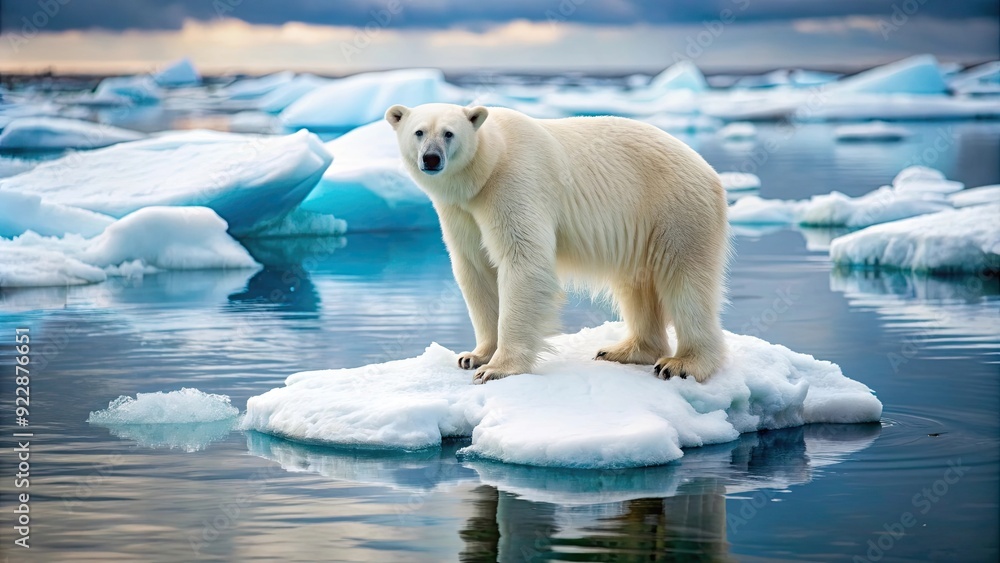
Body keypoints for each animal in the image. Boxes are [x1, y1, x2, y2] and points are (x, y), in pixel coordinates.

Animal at [385, 103, 730, 384]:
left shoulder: (514, 184)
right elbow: (475, 269)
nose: (431, 158)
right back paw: (623, 350)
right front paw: (474, 355)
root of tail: (708, 170)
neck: (488, 164)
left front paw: (497, 368)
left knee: (685, 283)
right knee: (636, 285)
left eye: (449, 133)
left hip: (676, 211)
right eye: (418, 132)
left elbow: (523, 261)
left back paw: (681, 363)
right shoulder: (460, 211)